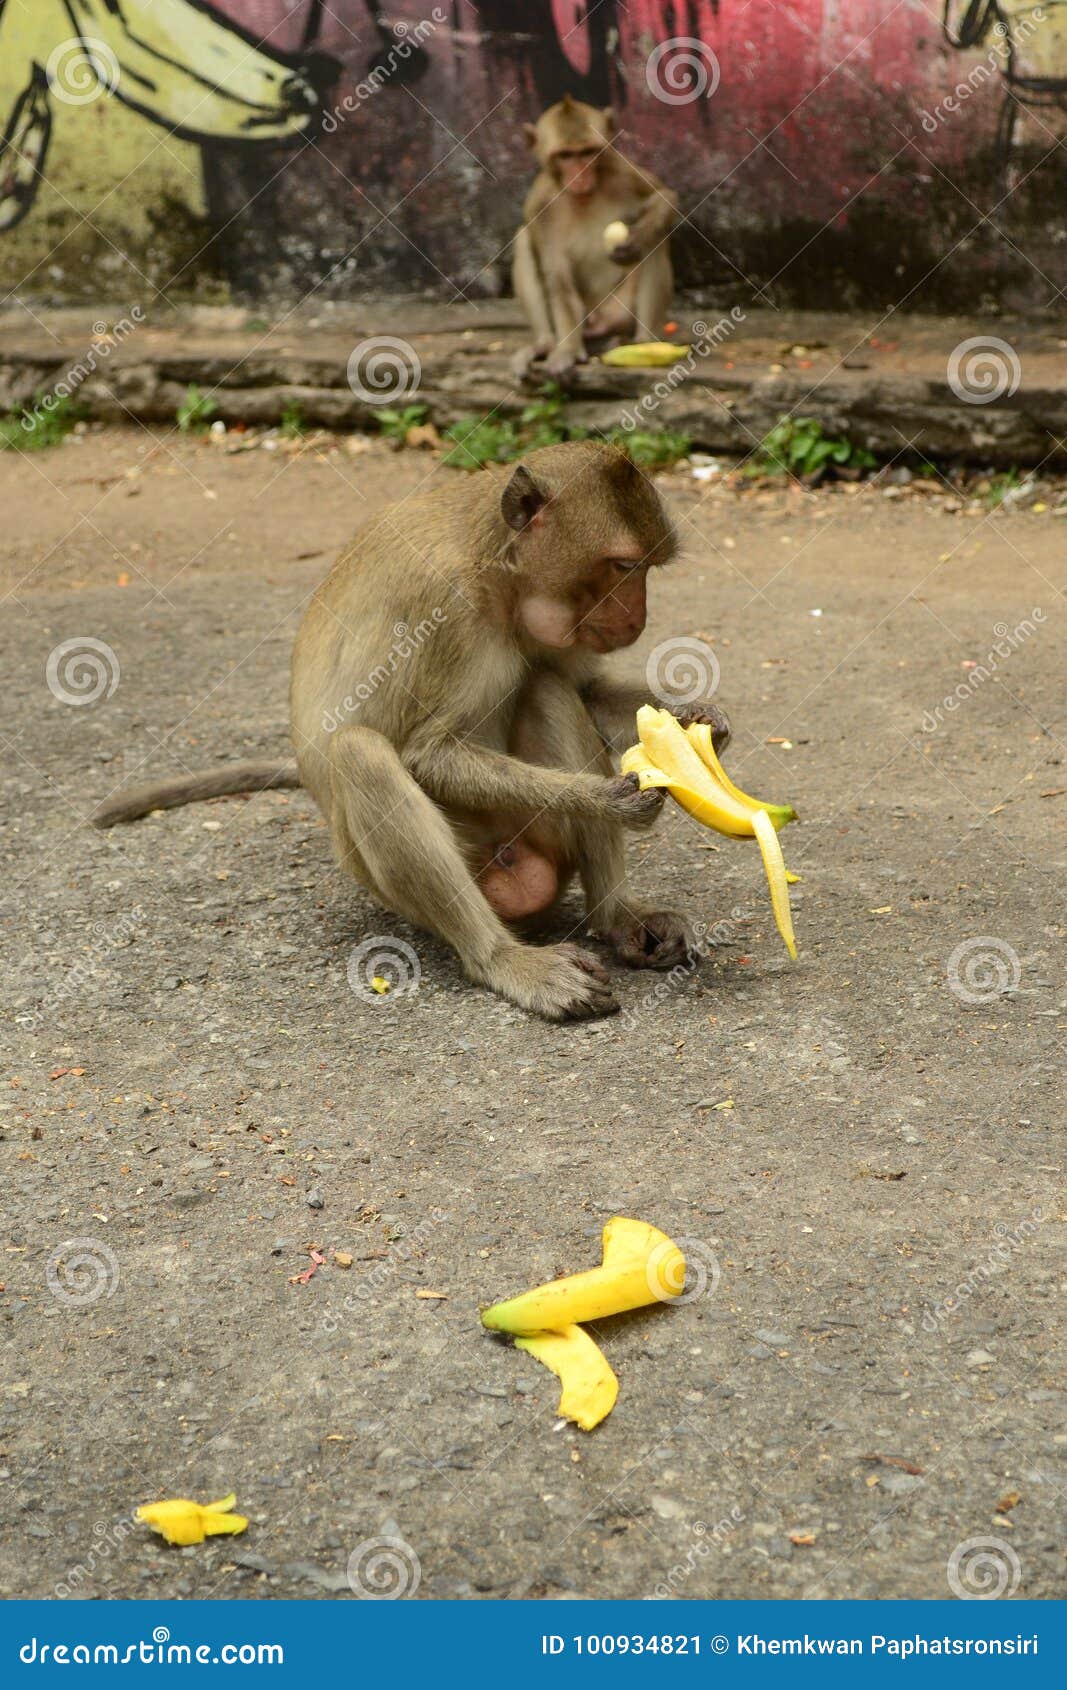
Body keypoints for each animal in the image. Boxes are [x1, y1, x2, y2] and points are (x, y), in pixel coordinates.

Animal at [94, 442, 730, 1022]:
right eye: (624, 567)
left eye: (647, 568)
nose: (637, 616)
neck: (497, 576)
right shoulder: (440, 606)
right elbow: (425, 754)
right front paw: (610, 798)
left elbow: (587, 690)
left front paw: (702, 724)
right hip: (418, 874)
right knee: (362, 754)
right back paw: (503, 960)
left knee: (547, 687)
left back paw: (616, 919)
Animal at [513, 96, 678, 382]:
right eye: (565, 156)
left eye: (588, 152)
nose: (580, 174)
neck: (583, 197)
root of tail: (596, 321)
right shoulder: (540, 203)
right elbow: (558, 276)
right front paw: (567, 351)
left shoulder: (619, 168)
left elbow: (664, 197)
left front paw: (637, 239)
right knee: (523, 239)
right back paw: (544, 344)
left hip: (618, 312)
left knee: (657, 240)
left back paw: (643, 342)